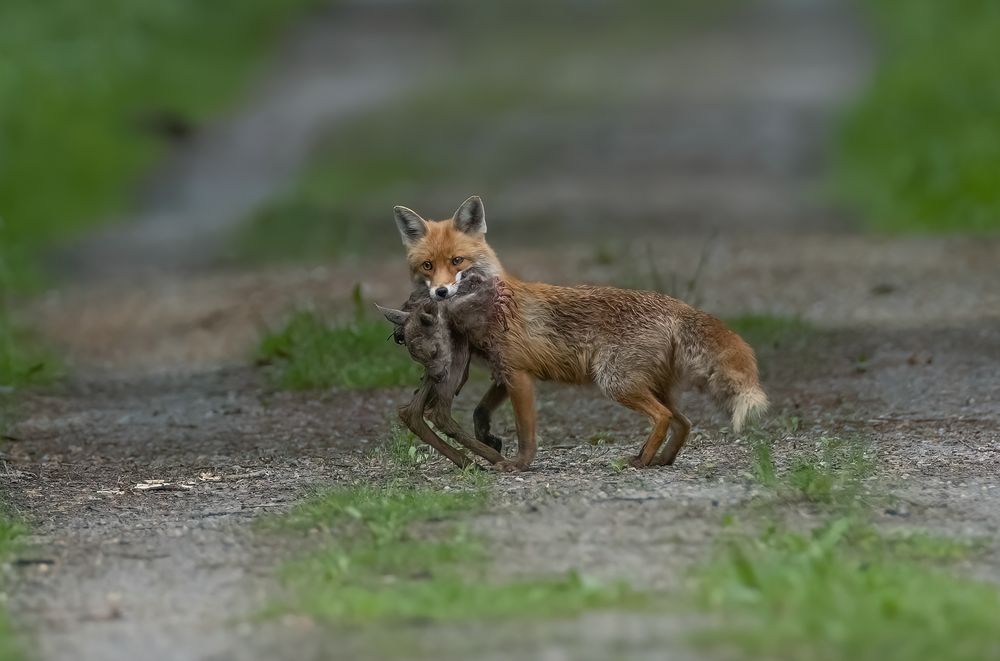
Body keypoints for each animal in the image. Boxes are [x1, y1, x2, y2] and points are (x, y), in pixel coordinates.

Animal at [392, 195, 769, 471]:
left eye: (457, 261)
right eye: (427, 266)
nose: (441, 293)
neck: (491, 303)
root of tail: (677, 305)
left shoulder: (519, 374)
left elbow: (526, 432)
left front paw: (518, 464)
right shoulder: (504, 372)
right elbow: (480, 412)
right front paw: (488, 438)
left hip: (615, 382)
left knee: (663, 417)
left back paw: (642, 460)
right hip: (650, 386)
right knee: (685, 422)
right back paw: (662, 459)